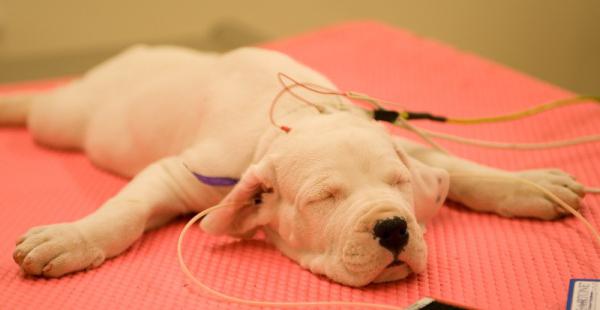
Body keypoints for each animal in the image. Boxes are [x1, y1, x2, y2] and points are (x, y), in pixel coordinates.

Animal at [4, 46, 584, 286]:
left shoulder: (401, 145)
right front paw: (70, 238)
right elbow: (125, 212)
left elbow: (453, 165)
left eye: (397, 185)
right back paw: (15, 103)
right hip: (68, 119)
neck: (298, 117)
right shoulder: (179, 172)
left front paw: (532, 185)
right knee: (44, 105)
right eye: (323, 199)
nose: (394, 227)